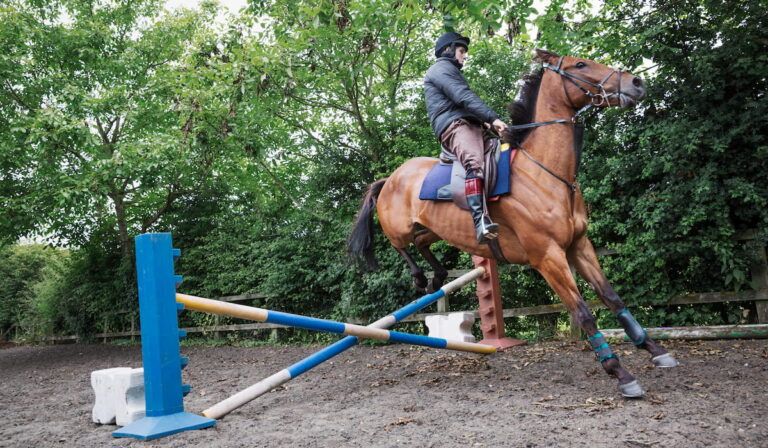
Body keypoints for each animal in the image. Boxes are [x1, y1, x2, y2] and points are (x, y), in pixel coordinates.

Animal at [348, 49, 678, 397]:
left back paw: (437, 276)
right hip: (399, 227)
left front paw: (654, 349)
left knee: (423, 242)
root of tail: (390, 178)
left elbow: (612, 298)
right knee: (401, 245)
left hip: (436, 229)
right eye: (580, 65)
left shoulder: (579, 246)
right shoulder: (548, 257)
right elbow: (583, 313)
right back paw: (420, 278)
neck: (544, 172)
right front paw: (620, 373)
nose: (637, 83)